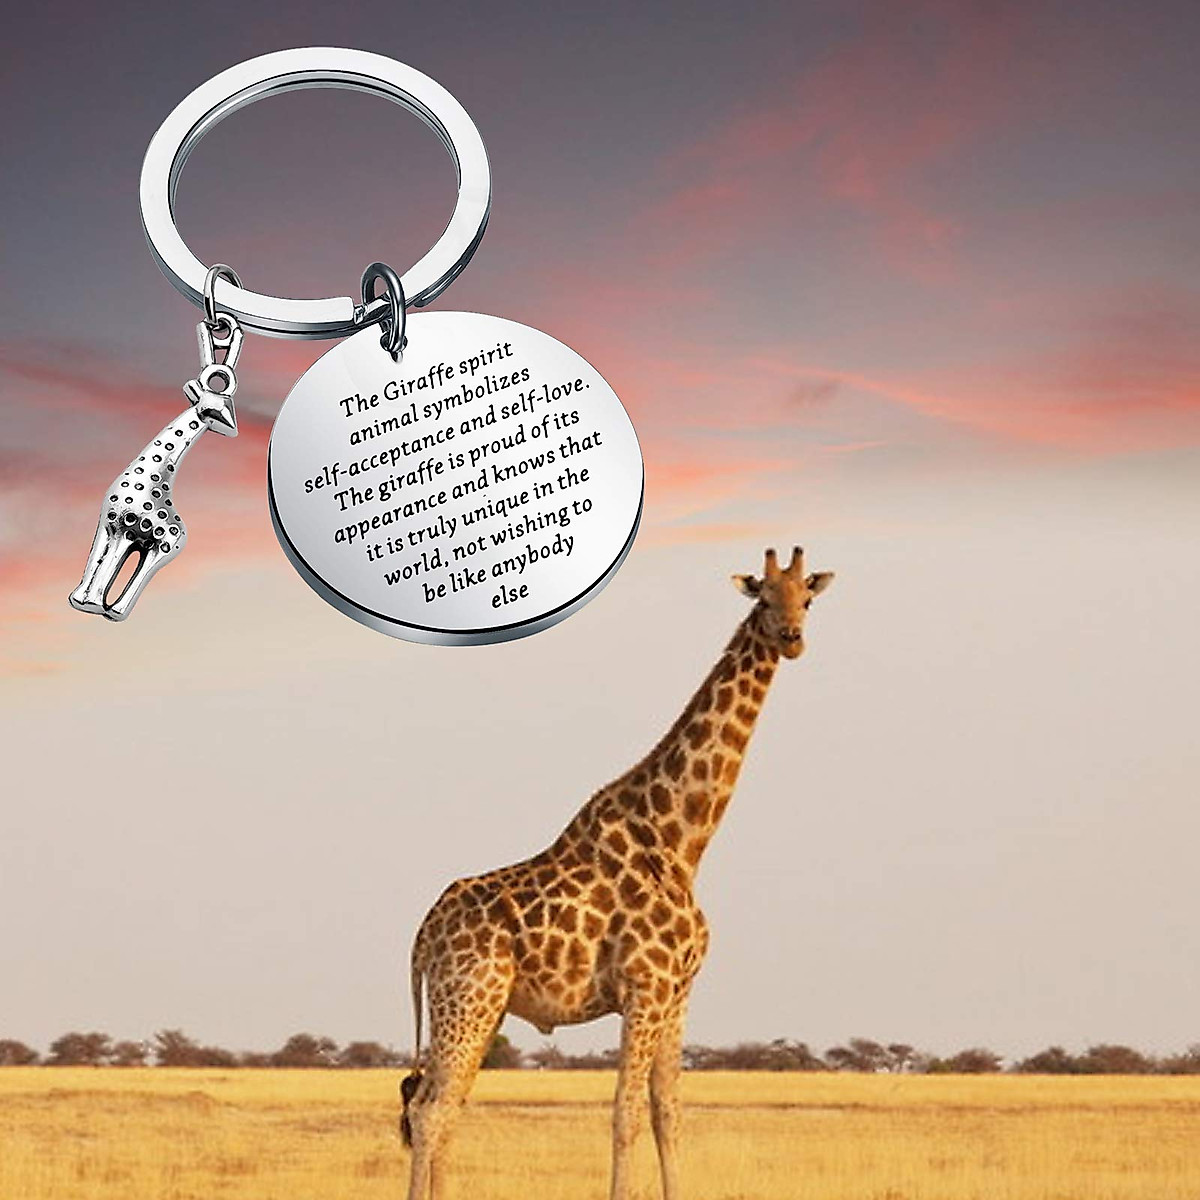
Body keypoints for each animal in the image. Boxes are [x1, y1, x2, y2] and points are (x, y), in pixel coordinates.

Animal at [69, 319, 241, 620]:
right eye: (214, 409)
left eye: (227, 406)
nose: (234, 427)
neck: (155, 477)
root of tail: (181, 533)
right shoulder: (108, 525)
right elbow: (96, 562)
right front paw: (83, 600)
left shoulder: (125, 531)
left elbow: (108, 566)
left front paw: (95, 604)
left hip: (161, 548)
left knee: (142, 574)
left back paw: (117, 611)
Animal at [400, 546, 834, 1200]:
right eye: (762, 597)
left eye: (806, 598)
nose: (792, 639)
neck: (683, 842)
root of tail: (424, 933)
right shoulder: (643, 987)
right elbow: (624, 1110)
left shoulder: (678, 993)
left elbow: (667, 1111)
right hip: (467, 998)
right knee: (430, 1111)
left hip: (480, 1006)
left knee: (443, 1106)